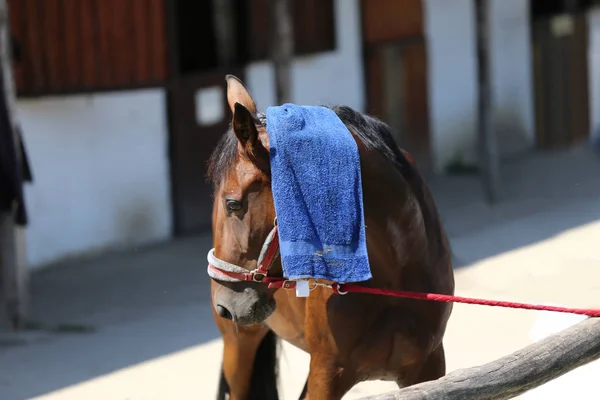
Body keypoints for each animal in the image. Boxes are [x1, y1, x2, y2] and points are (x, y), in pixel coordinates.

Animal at [206, 76, 454, 400]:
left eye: (233, 204)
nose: (224, 305)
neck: (393, 277)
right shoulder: (325, 372)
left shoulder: (428, 366)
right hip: (239, 343)